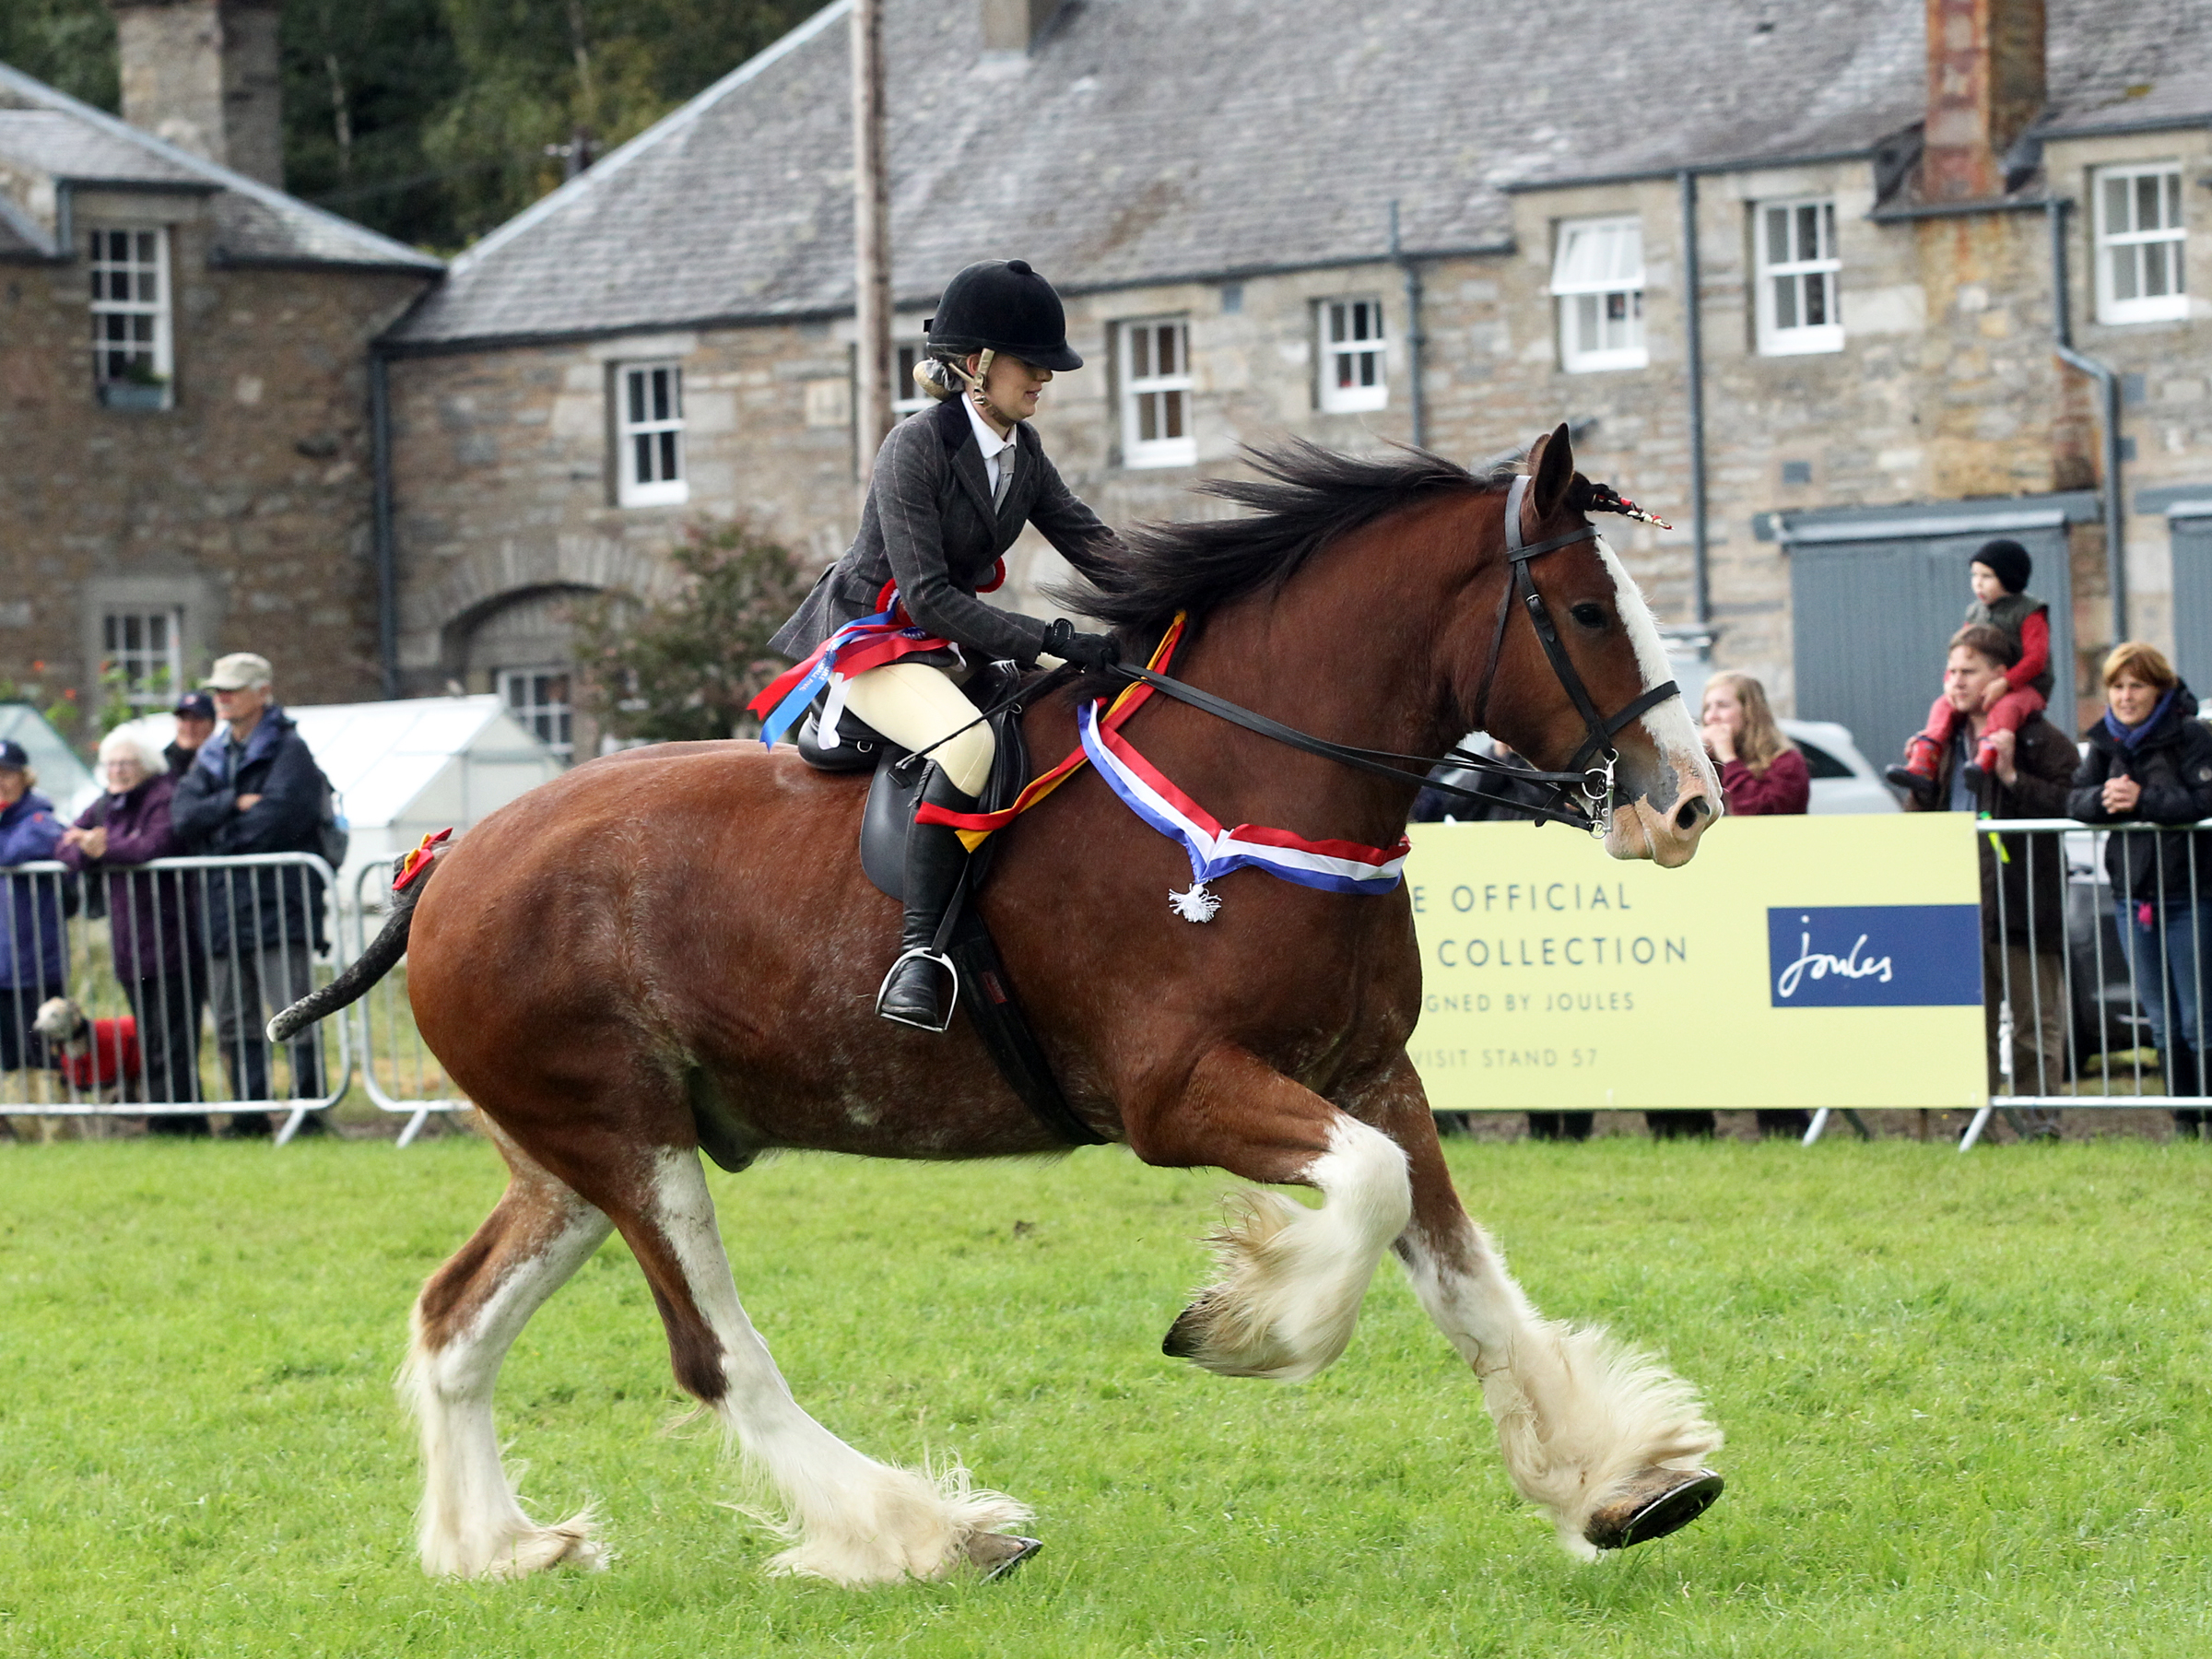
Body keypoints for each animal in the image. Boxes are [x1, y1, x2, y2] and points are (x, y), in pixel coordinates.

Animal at [286, 422, 1726, 1585]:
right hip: (626, 1143)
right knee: (714, 1355)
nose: (1692, 806)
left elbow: (1464, 1274)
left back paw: (496, 1549)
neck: (1253, 779)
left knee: (457, 1320)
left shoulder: (1374, 1073)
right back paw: (927, 1535)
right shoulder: (1177, 1095)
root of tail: (450, 861)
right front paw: (1248, 1326)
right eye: (1586, 612)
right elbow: (1368, 1197)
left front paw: (1613, 1483)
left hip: (572, 1156)